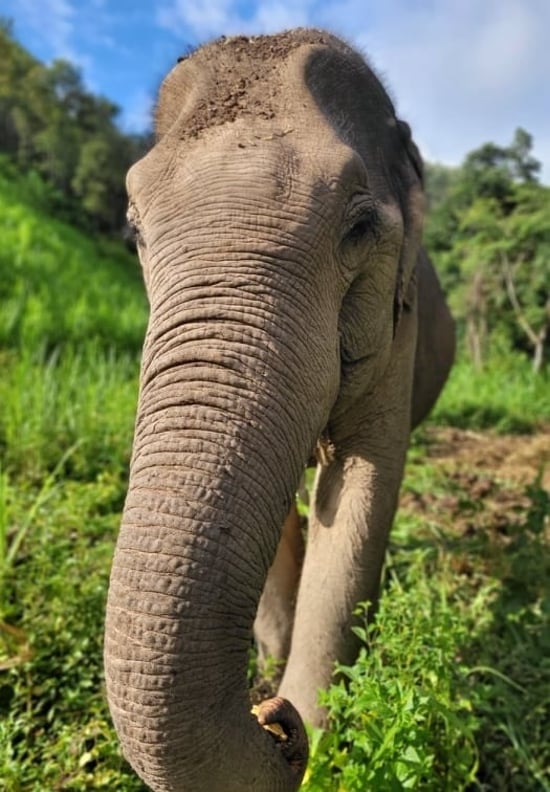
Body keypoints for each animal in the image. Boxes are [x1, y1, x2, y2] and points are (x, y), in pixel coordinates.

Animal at [104, 28, 455, 792]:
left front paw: (321, 735)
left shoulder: (401, 323)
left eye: (359, 227)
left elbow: (360, 491)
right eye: (135, 234)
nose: (272, 717)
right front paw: (279, 673)